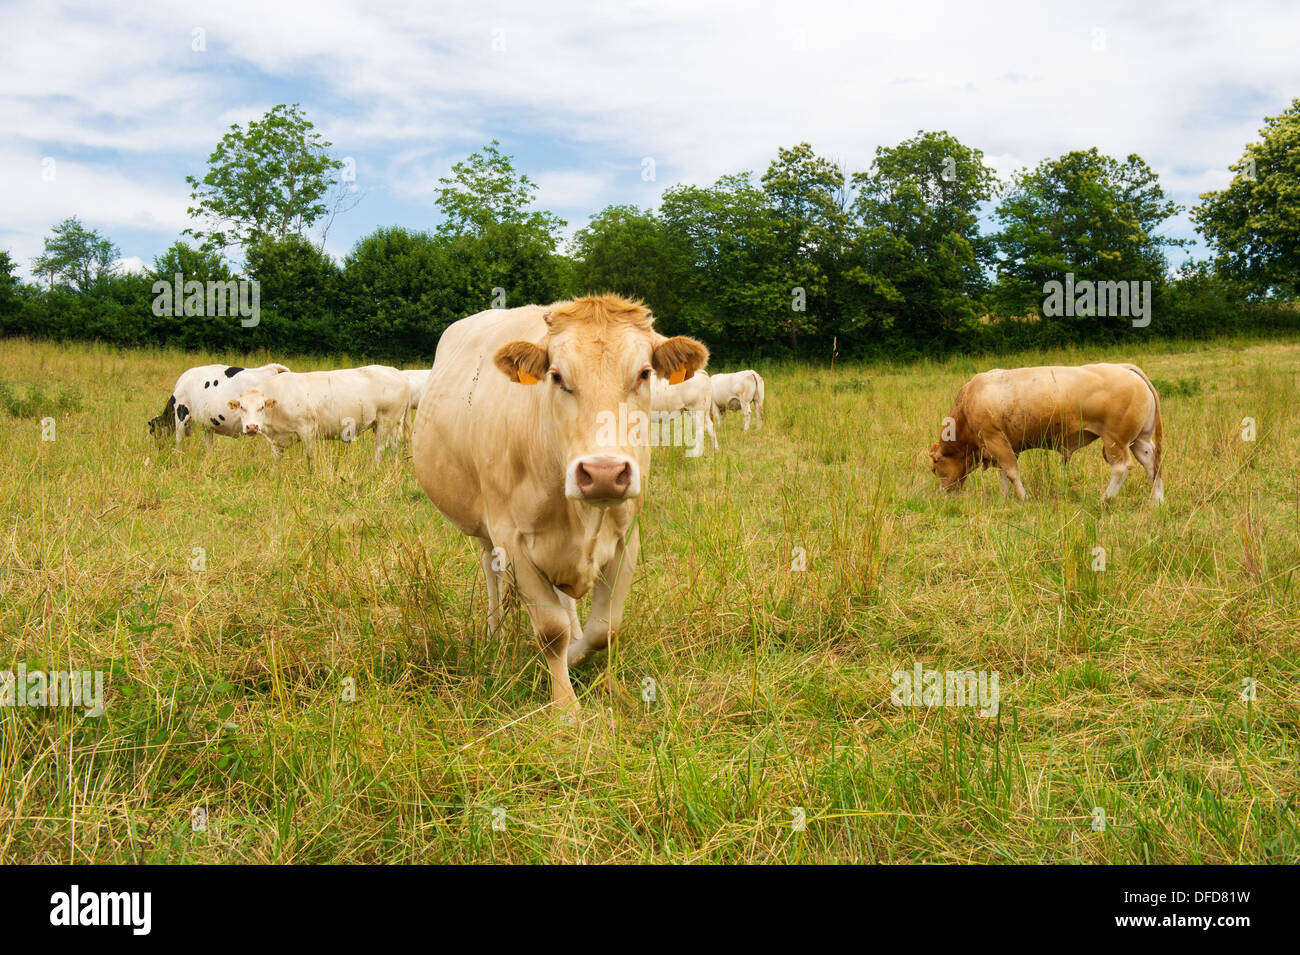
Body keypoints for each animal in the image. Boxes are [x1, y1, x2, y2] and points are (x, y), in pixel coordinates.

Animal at [148, 363, 291, 448]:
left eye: (153, 432)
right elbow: (209, 446)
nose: (158, 449)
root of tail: (275, 368)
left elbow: (178, 441)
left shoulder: (181, 415)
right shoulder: (207, 425)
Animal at [230, 365, 409, 466]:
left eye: (261, 407)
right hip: (390, 423)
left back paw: (375, 468)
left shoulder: (307, 428)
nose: (251, 427)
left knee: (380, 448)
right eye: (241, 407)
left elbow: (310, 456)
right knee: (394, 446)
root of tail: (394, 371)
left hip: (386, 420)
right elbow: (276, 459)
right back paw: (395, 467)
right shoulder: (275, 439)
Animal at [412, 294, 709, 711]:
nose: (603, 472)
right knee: (491, 571)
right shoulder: (513, 540)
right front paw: (566, 710)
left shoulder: (626, 536)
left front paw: (575, 657)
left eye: (644, 373)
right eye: (556, 376)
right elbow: (551, 631)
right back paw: (495, 636)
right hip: (485, 527)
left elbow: (604, 629)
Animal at [928, 363, 1164, 503]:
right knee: (1153, 464)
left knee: (1121, 468)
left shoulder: (994, 438)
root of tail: (1124, 367)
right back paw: (1157, 501)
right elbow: (1004, 472)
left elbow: (1011, 471)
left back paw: (1105, 499)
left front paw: (1022, 497)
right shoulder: (1006, 445)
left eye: (934, 469)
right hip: (1140, 440)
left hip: (1115, 440)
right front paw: (1005, 497)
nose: (943, 493)